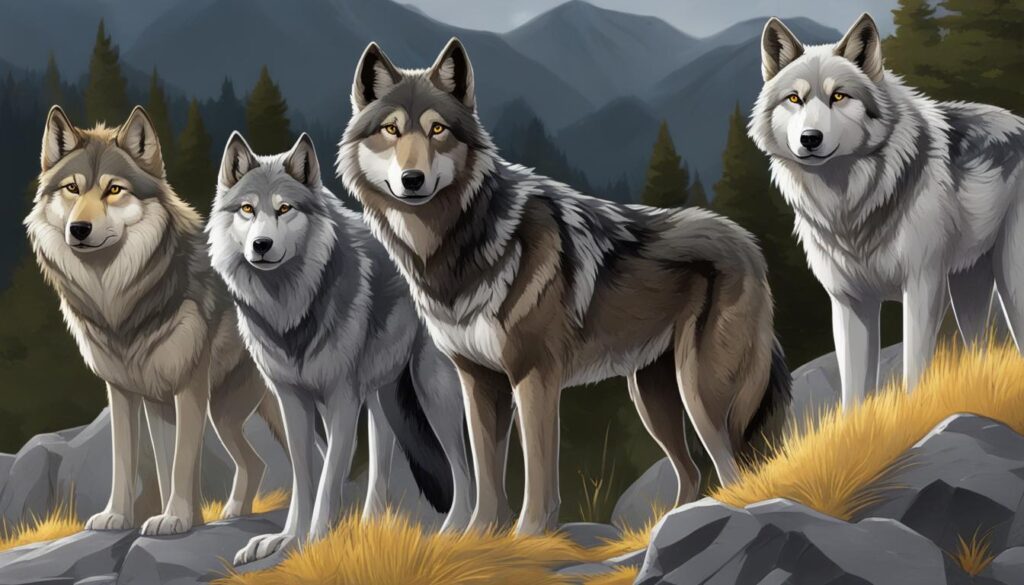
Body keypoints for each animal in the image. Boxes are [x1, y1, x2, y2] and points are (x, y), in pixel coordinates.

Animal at [26, 106, 283, 536]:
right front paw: (121, 516)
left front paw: (176, 518)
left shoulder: (188, 387)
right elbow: (132, 460)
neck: (120, 298)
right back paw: (235, 513)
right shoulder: (134, 395)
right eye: (72, 188)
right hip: (227, 415)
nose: (78, 229)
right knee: (258, 462)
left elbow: (180, 463)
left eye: (114, 190)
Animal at [208, 132, 472, 564]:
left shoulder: (341, 399)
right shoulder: (292, 400)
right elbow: (304, 478)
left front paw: (313, 542)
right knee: (382, 461)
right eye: (247, 209)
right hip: (382, 397)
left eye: (284, 208)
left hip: (434, 389)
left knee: (463, 465)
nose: (261, 245)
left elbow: (329, 479)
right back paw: (369, 528)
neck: (291, 308)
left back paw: (455, 531)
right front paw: (286, 539)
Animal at [337, 38, 792, 535]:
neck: (456, 246)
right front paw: (478, 537)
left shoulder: (534, 376)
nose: (412, 180)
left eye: (437, 129)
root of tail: (748, 243)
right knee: (691, 473)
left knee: (731, 471)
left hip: (701, 395)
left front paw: (529, 536)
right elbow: (487, 480)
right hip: (651, 398)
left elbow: (538, 478)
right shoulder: (478, 380)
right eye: (391, 130)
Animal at [753, 13, 1024, 409]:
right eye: (794, 99)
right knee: (978, 347)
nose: (810, 139)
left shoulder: (923, 286)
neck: (850, 205)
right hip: (967, 286)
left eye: (839, 96)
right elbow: (854, 389)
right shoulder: (850, 302)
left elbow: (914, 370)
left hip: (1010, 279)